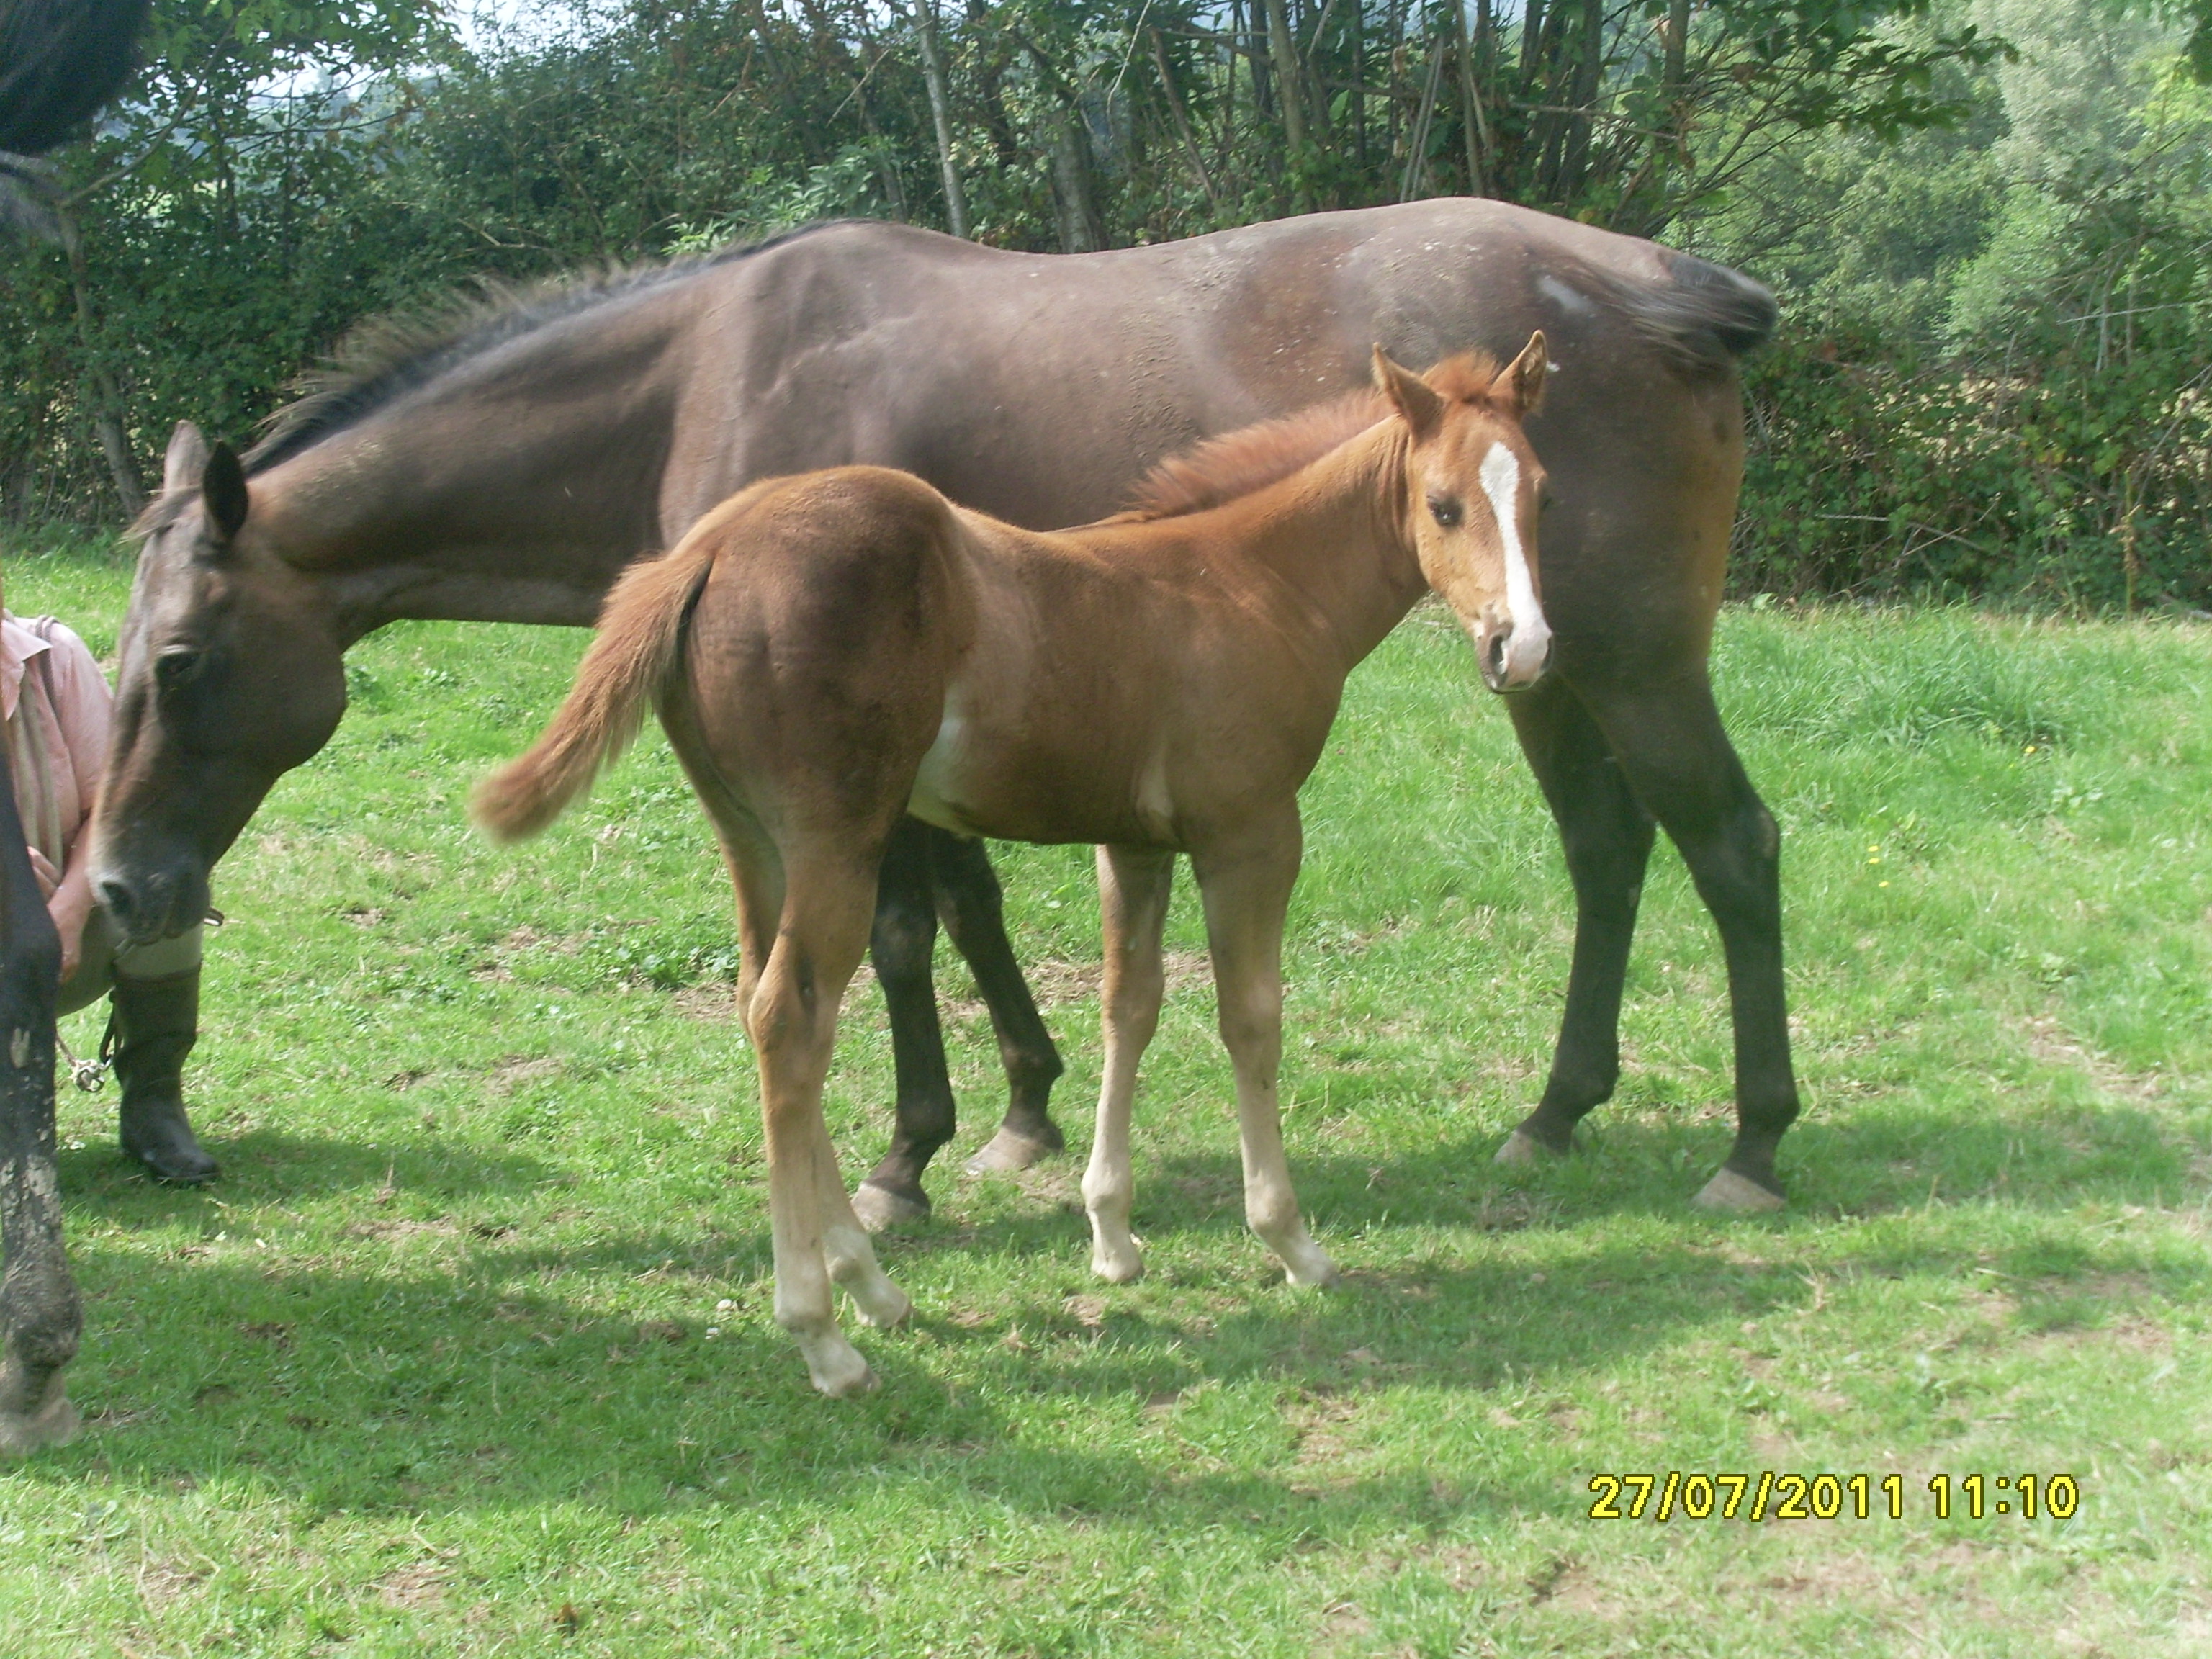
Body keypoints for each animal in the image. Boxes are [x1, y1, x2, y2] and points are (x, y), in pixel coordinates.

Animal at [91, 201, 1799, 1238]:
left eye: (177, 661)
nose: (115, 885)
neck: (703, 373)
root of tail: (1658, 292)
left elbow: (906, 933)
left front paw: (910, 1156)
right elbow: (965, 909)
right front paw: (1023, 1110)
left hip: (1629, 661)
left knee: (1730, 845)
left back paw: (1752, 1144)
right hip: (1540, 666)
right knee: (1607, 852)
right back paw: (1555, 1114)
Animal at [470, 341, 1553, 1396]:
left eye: (1540, 489)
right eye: (1443, 505)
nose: (1525, 647)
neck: (1251, 582)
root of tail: (711, 545)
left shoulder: (1136, 843)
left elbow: (1131, 1005)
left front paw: (1113, 1237)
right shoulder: (1250, 833)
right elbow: (1250, 1019)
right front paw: (1292, 1244)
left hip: (752, 838)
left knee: (758, 1002)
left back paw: (874, 1287)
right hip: (837, 836)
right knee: (790, 1019)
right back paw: (824, 1335)